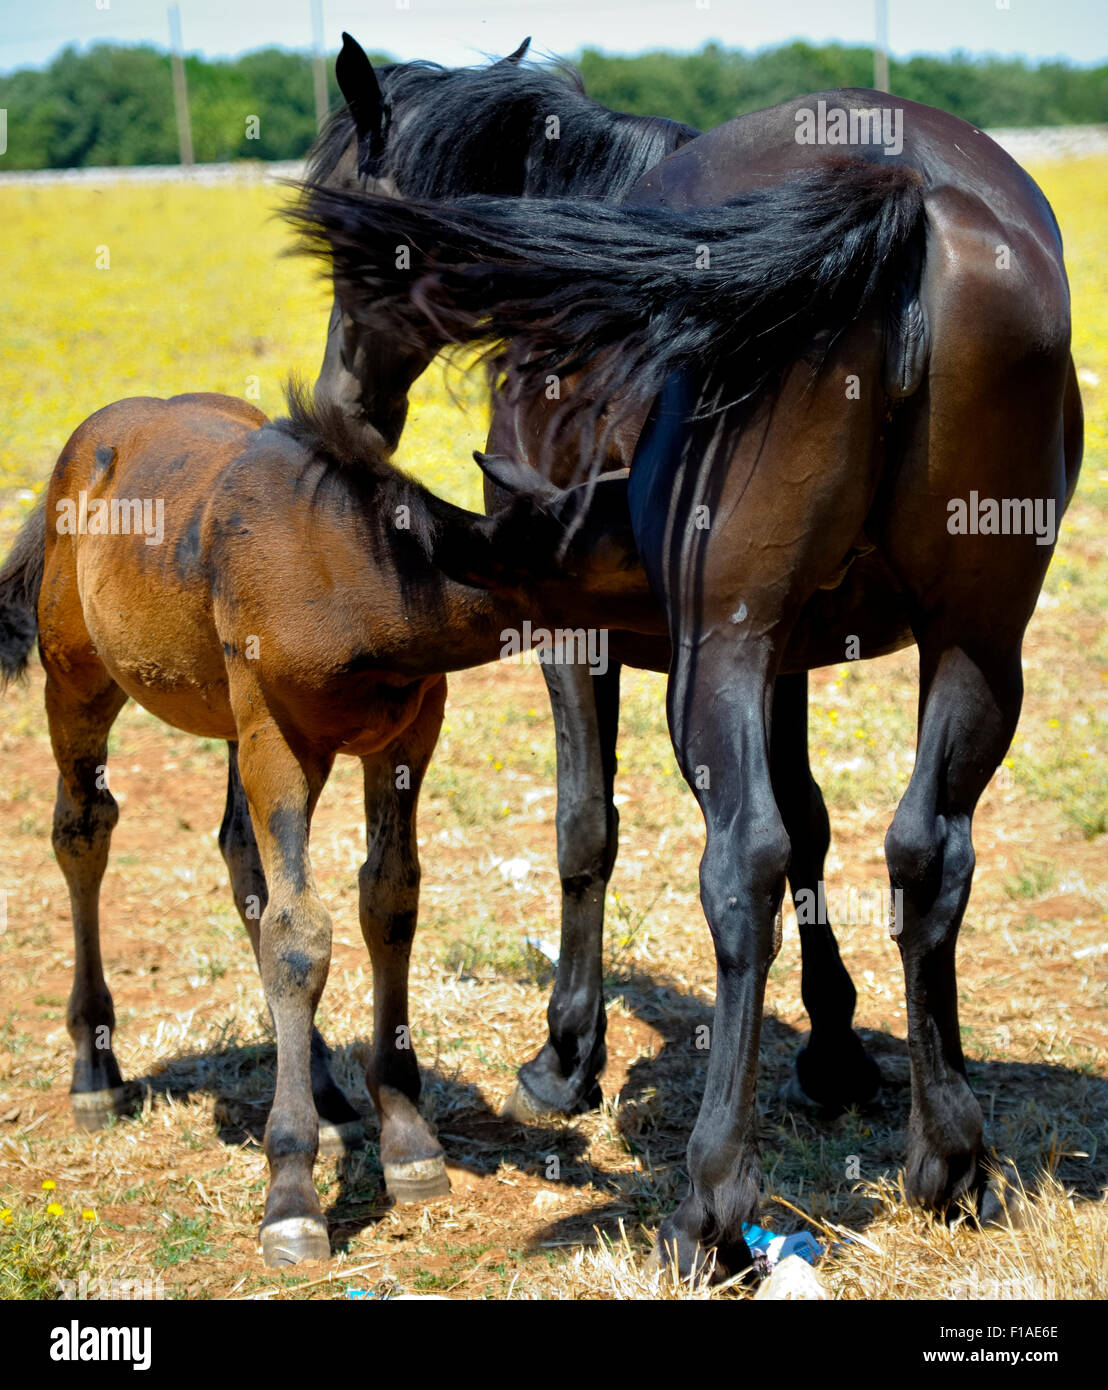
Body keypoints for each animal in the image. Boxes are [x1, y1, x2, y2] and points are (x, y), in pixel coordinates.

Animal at [0, 387, 656, 1266]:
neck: (352, 572)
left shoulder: (409, 731)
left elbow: (389, 902)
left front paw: (405, 1134)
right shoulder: (277, 737)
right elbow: (299, 936)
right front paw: (291, 1195)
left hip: (222, 718)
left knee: (240, 858)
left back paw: (323, 1089)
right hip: (78, 677)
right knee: (84, 832)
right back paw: (95, 1073)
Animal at [294, 89, 1084, 1277]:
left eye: (353, 242)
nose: (343, 400)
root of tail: (904, 198)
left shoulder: (586, 638)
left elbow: (589, 828)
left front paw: (564, 1056)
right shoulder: (794, 658)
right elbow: (814, 829)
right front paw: (837, 1048)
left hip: (723, 653)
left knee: (741, 863)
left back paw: (711, 1202)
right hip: (976, 645)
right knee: (927, 853)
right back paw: (949, 1159)